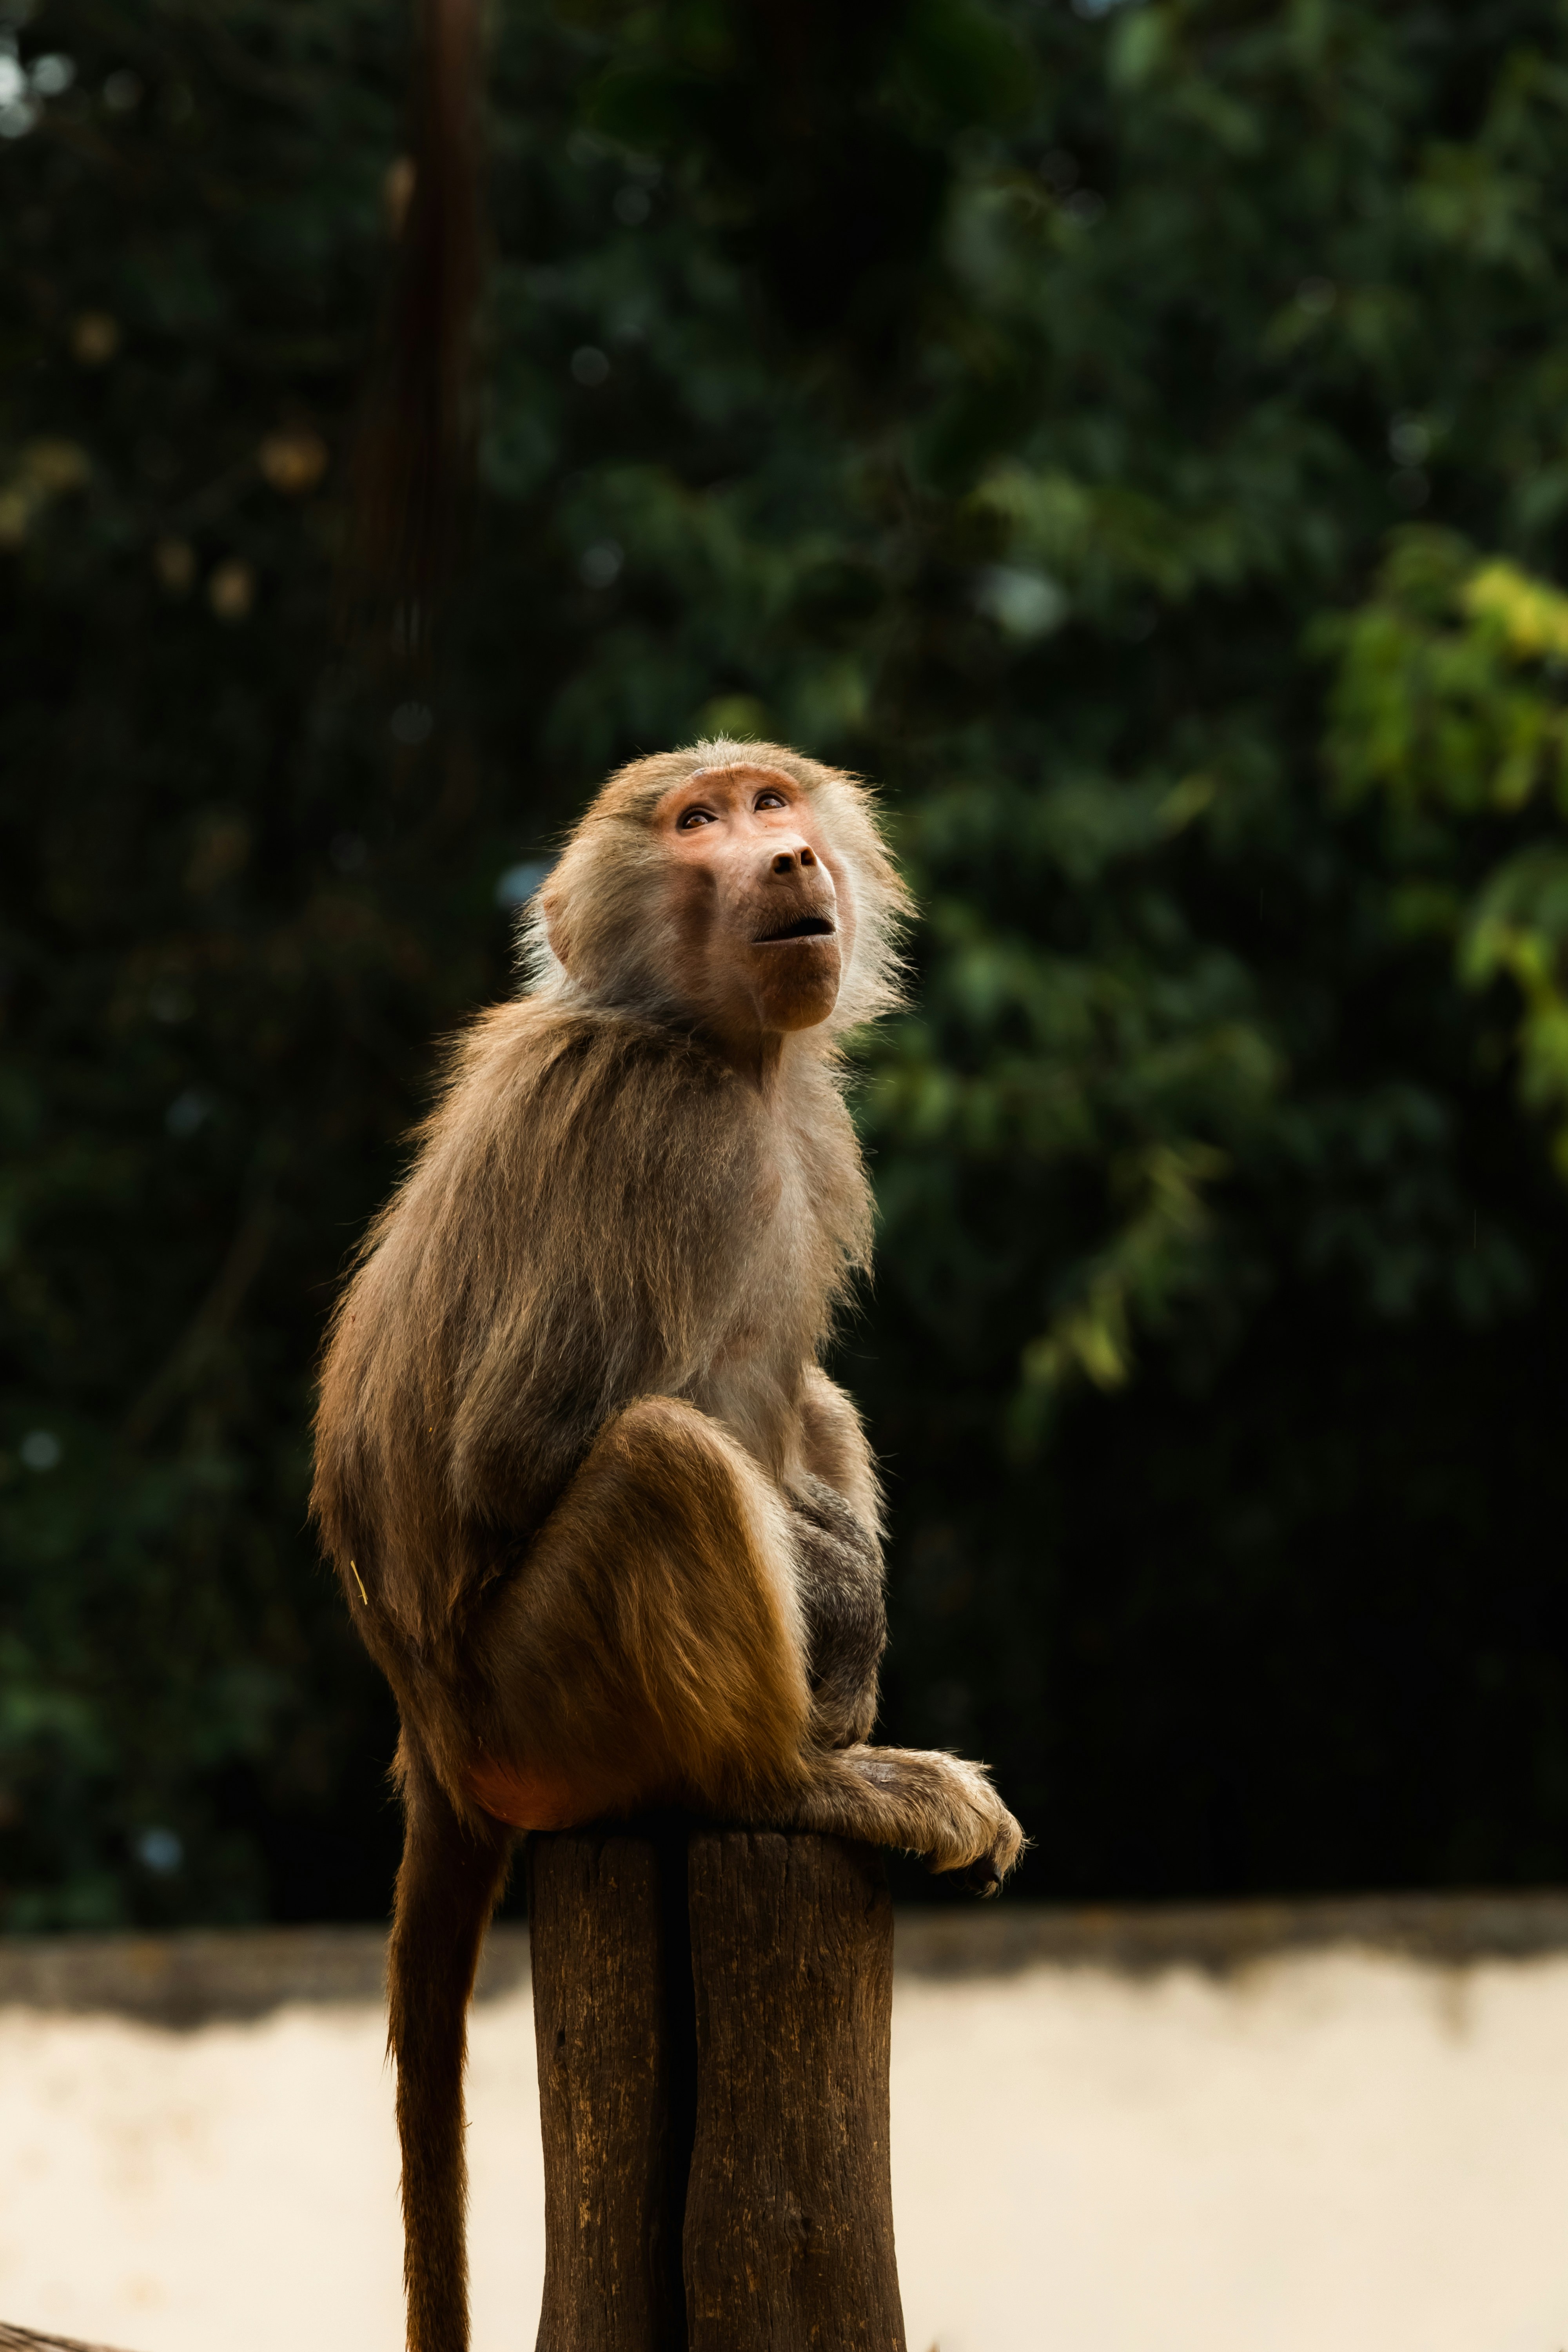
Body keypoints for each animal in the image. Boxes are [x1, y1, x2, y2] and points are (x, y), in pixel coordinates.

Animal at [310, 738, 1024, 2352]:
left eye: (772, 803)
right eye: (699, 824)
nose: (786, 860)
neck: (709, 1047)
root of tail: (432, 1743)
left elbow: (796, 1396)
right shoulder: (656, 1133)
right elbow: (524, 1448)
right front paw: (835, 1614)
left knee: (793, 1406)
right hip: (543, 1709)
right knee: (662, 1461)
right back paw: (795, 1780)